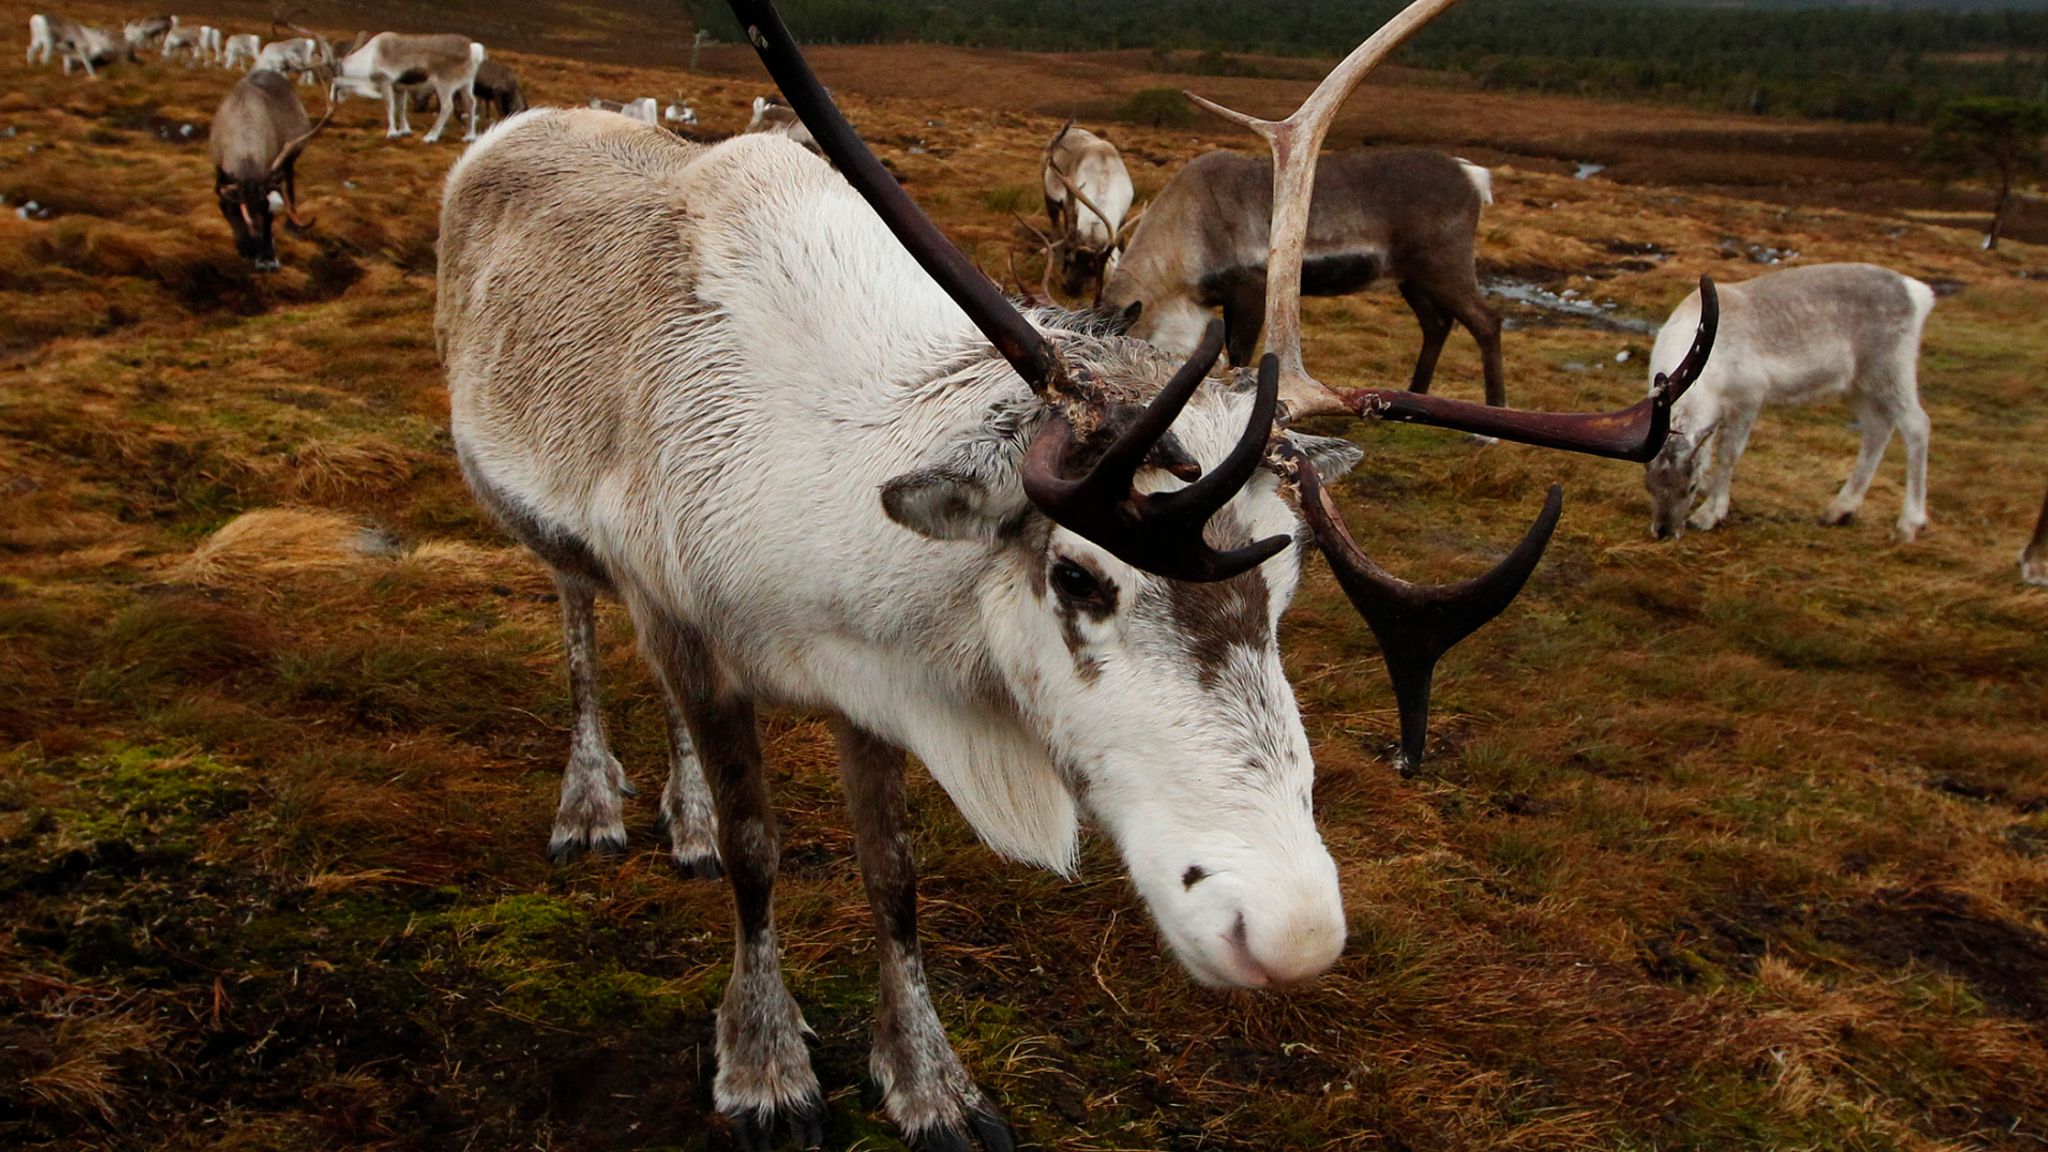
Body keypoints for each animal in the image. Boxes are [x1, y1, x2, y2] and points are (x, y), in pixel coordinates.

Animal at [211, 68, 329, 271]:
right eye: (236, 208)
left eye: (265, 207)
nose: (253, 249)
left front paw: (268, 257)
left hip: (289, 160)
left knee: (290, 184)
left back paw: (292, 227)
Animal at [329, 32, 486, 143]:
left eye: (336, 83)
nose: (333, 99)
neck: (369, 59)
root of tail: (472, 49)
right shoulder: (400, 87)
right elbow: (401, 108)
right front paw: (404, 131)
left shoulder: (386, 83)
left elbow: (390, 107)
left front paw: (391, 133)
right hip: (466, 84)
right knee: (470, 103)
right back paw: (469, 137)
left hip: (444, 86)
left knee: (447, 107)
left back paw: (430, 137)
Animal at [1035, 121, 1136, 304]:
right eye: (1070, 260)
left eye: (1092, 270)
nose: (1071, 289)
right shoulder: (1071, 205)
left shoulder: (1123, 219)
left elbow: (1121, 246)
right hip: (1049, 196)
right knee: (1055, 223)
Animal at [1101, 147, 1505, 408]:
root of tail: (1473, 176)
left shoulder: (1250, 290)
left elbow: (1239, 354)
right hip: (1411, 278)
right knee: (1437, 324)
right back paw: (1416, 394)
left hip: (1445, 265)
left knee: (1487, 321)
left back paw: (1491, 423)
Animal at [1642, 263, 1933, 543]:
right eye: (1648, 484)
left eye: (1690, 485)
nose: (1665, 531)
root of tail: (1919, 293)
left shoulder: (1749, 398)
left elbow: (1728, 453)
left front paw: (1708, 515)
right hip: (1858, 385)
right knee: (1877, 428)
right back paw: (1839, 510)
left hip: (1891, 368)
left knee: (1917, 425)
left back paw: (1909, 524)